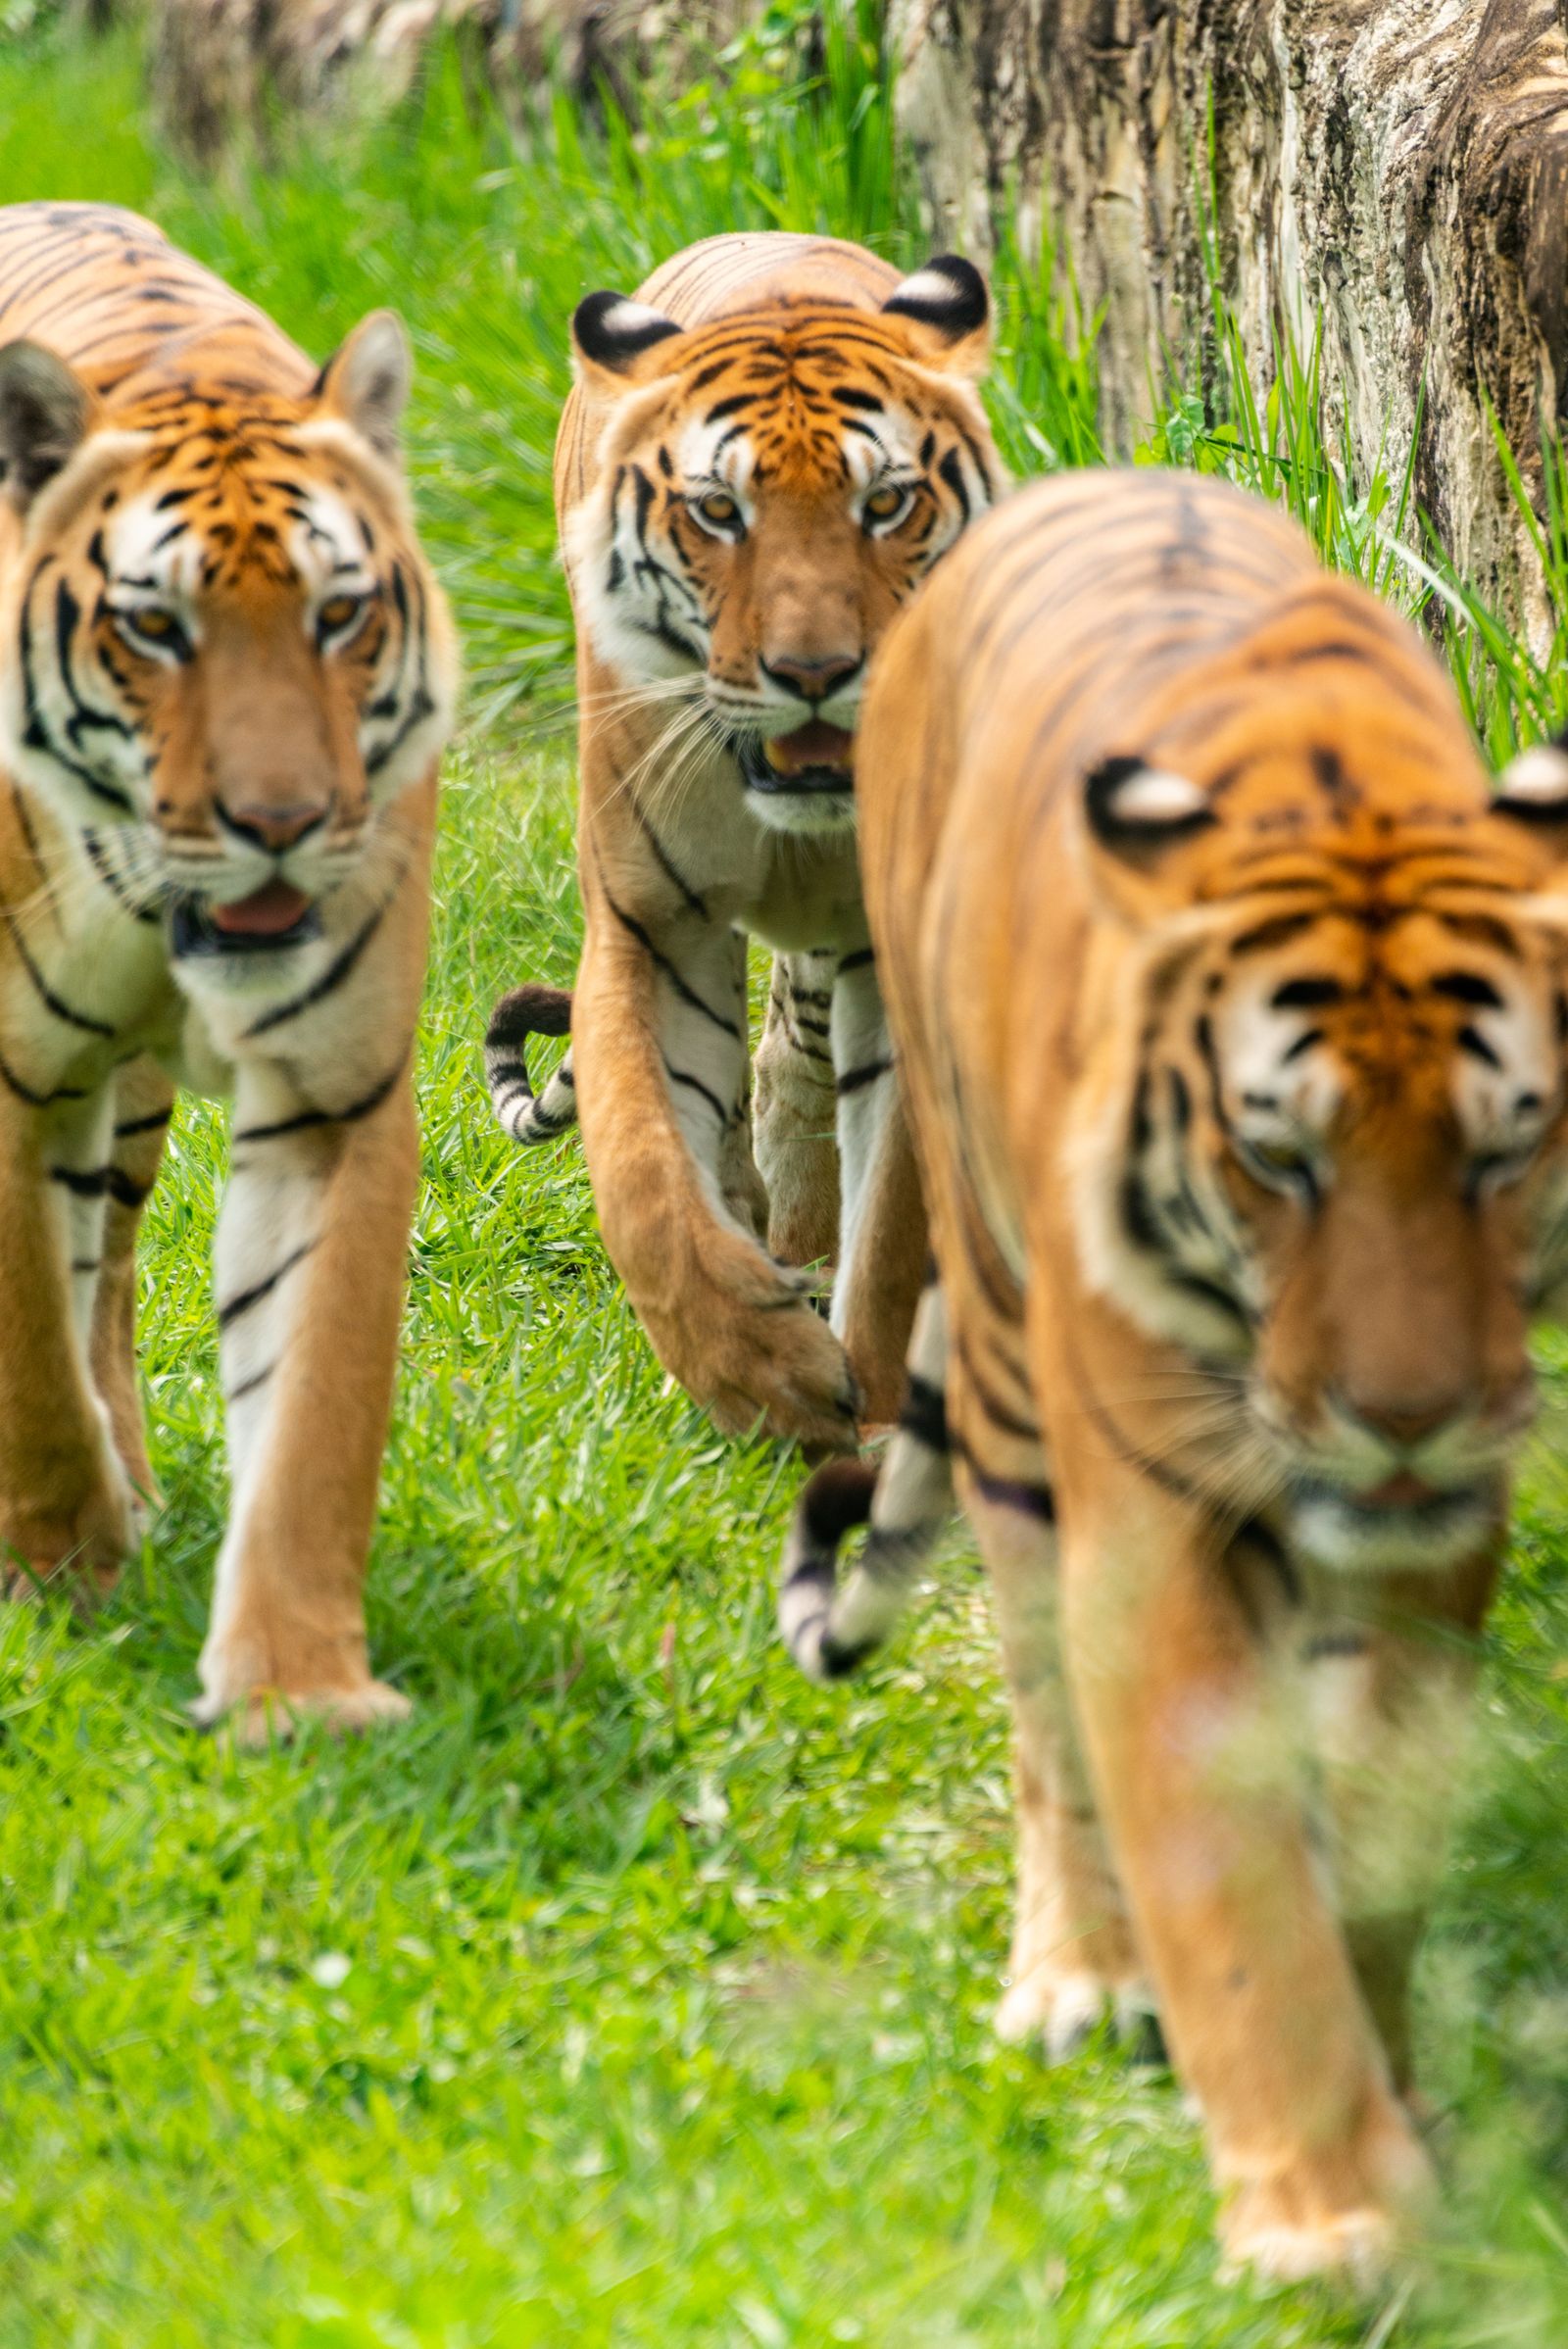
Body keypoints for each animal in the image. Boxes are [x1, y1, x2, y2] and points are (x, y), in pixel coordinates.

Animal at [0, 203, 456, 1738]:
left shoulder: (334, 1094)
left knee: (111, 1276)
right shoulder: (9, 1078)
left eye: (338, 617)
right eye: (155, 628)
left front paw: (299, 1686)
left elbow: (315, 1405)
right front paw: (64, 1577)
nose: (281, 822)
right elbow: (27, 1350)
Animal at [484, 233, 1002, 1447]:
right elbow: (646, 1180)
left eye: (886, 503)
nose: (812, 672)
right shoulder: (651, 926)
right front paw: (766, 1377)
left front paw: (865, 1401)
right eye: (719, 513)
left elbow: (893, 1211)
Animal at [776, 468, 1568, 2279]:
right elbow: (1230, 1863)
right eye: (1281, 1160)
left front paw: (1397, 2110)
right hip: (1005, 1364)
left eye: (1505, 1149)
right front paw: (1332, 2212)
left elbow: (1373, 1822)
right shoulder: (1158, 1512)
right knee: (1045, 1706)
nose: (1403, 1419)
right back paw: (1080, 1975)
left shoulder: (1435, 1542)